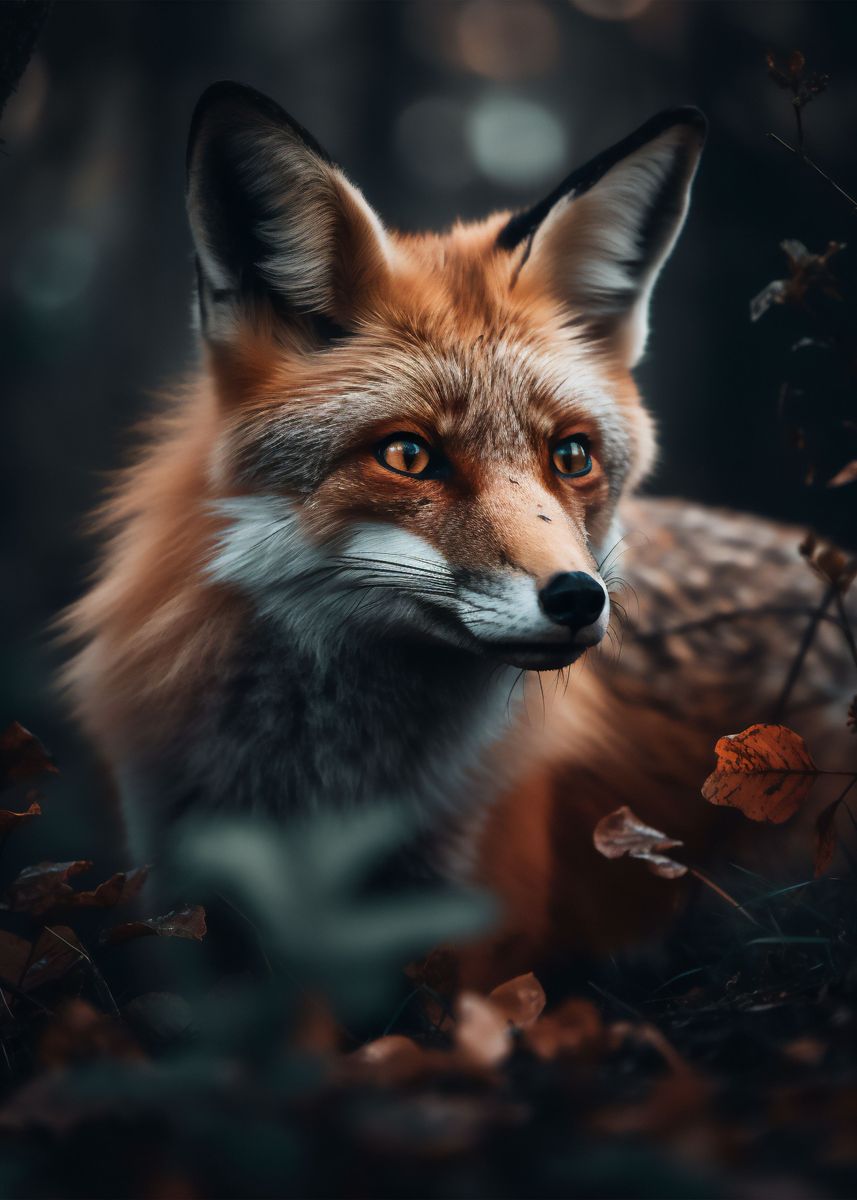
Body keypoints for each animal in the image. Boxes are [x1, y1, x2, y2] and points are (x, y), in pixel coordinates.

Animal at [64, 83, 852, 983]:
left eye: (570, 455)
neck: (329, 798)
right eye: (408, 455)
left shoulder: (471, 924)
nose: (579, 599)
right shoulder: (183, 901)